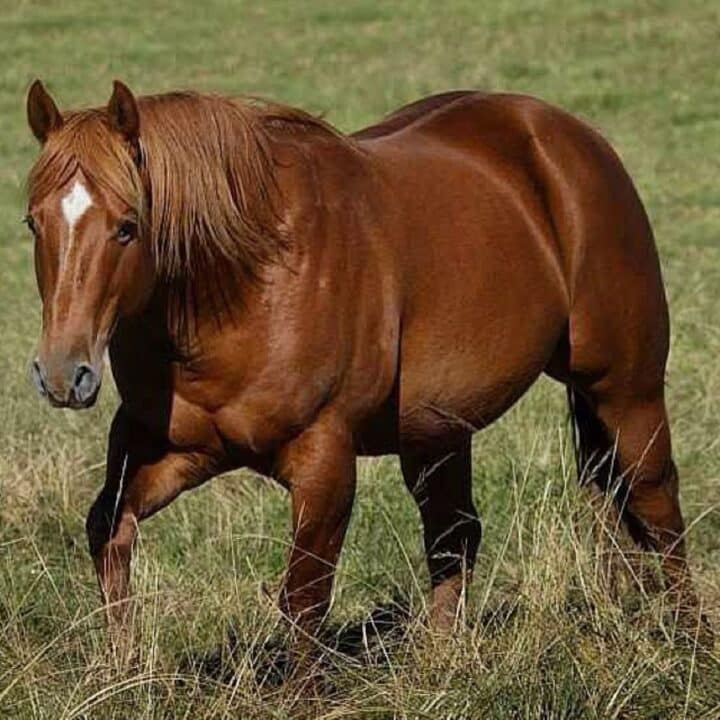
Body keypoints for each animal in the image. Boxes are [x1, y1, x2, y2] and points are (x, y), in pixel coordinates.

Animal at [25, 80, 705, 650]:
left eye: (127, 227)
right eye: (33, 222)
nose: (63, 374)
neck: (246, 285)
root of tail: (569, 137)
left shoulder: (324, 457)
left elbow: (303, 598)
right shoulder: (165, 445)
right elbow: (108, 532)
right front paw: (124, 672)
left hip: (625, 391)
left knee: (656, 502)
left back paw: (690, 638)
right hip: (439, 427)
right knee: (455, 533)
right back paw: (438, 665)